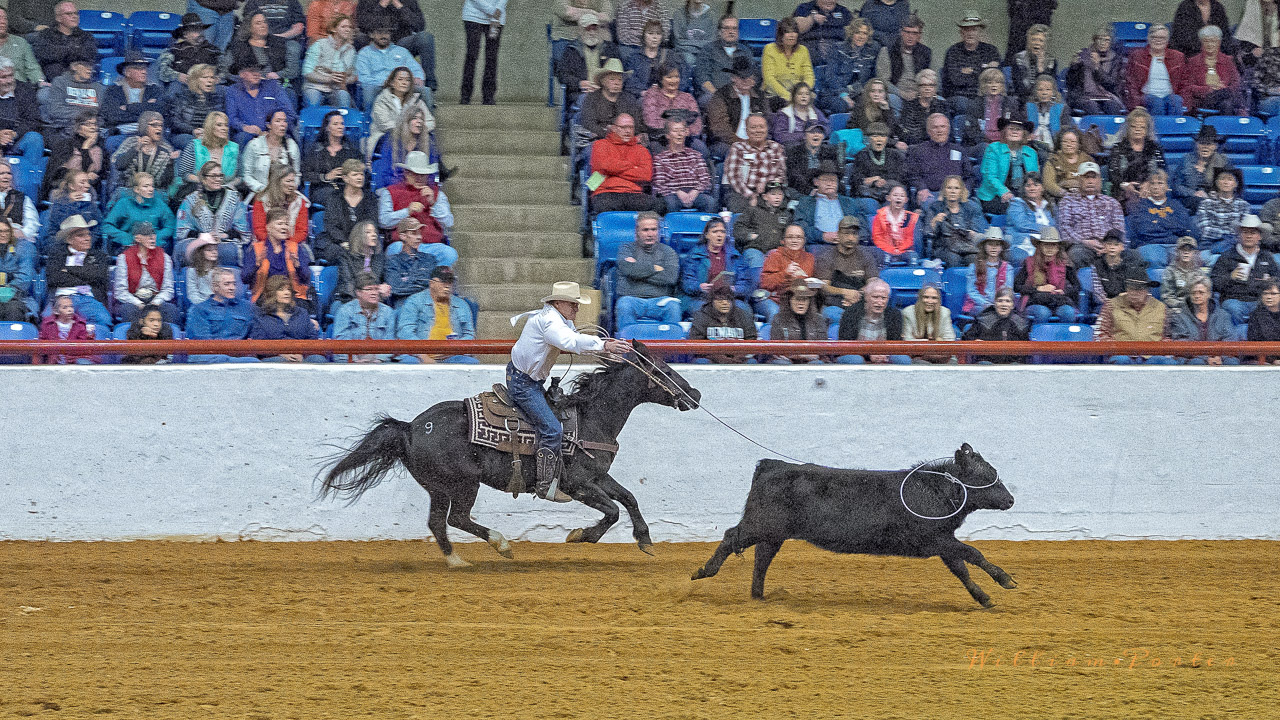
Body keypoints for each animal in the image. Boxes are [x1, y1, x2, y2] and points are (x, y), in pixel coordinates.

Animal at [319, 340, 701, 567]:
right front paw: (581, 536)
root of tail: (410, 427)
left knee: (438, 523)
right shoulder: (578, 485)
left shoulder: (598, 476)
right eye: (664, 371)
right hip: (463, 484)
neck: (591, 417)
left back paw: (456, 560)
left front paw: (646, 540)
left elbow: (629, 498)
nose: (695, 395)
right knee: (456, 519)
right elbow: (611, 511)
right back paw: (500, 545)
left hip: (439, 487)